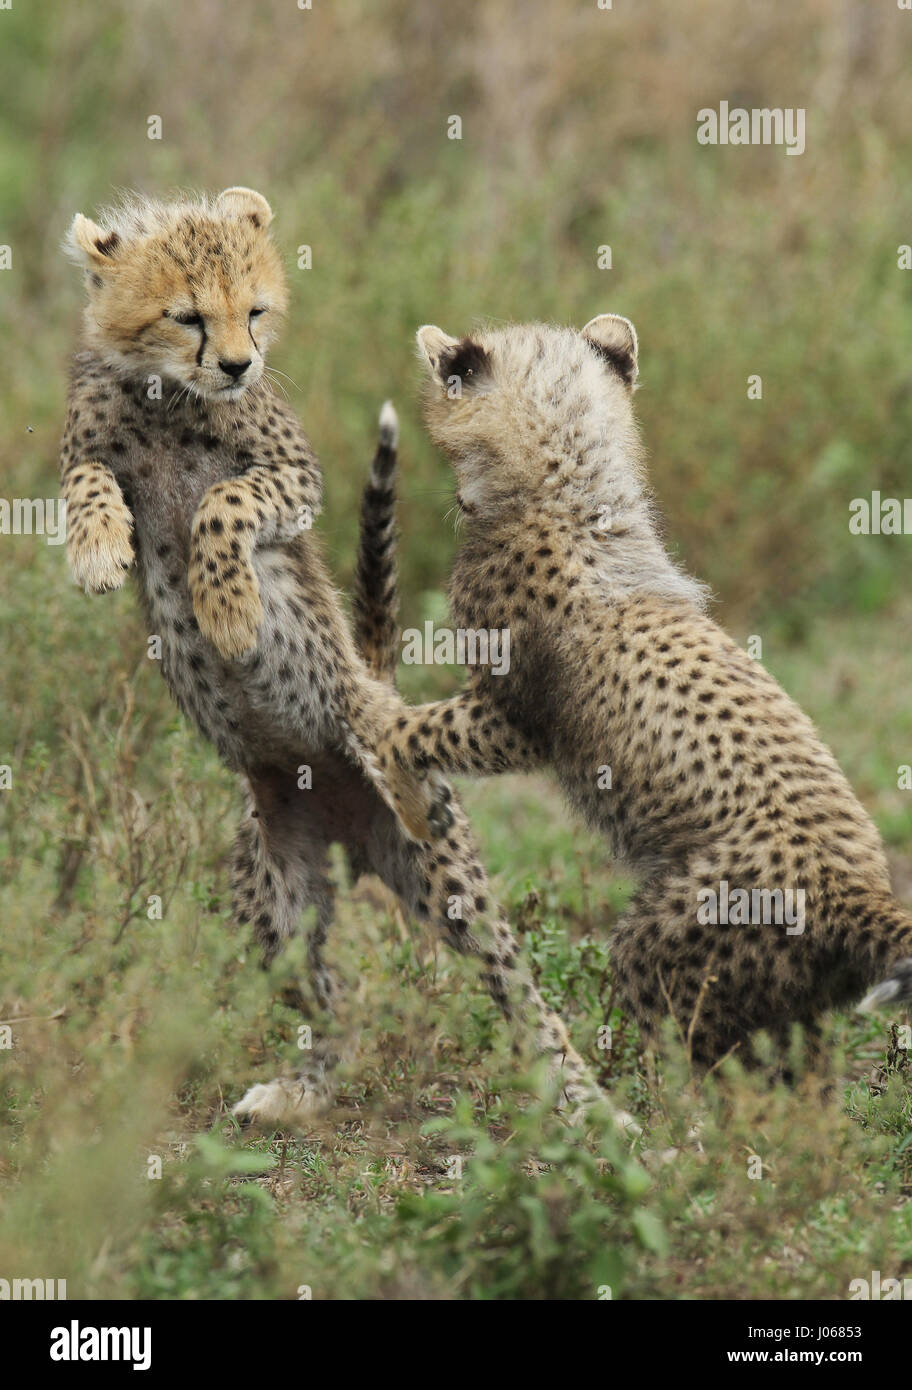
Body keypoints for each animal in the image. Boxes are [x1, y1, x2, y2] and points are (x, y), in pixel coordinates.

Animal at [58, 189, 602, 1126]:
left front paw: (230, 612)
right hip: (272, 900)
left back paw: (592, 1108)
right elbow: (89, 483)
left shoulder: (288, 474)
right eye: (187, 316)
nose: (239, 365)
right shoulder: (84, 451)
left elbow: (223, 502)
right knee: (336, 1006)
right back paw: (295, 1095)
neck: (165, 396)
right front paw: (96, 551)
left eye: (255, 311)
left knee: (523, 990)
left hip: (438, 862)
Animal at [376, 313, 912, 1072]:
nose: (458, 498)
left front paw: (370, 720)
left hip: (665, 948)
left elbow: (424, 726)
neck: (571, 485)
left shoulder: (512, 718)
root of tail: (857, 885)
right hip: (788, 1003)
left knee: (696, 1070)